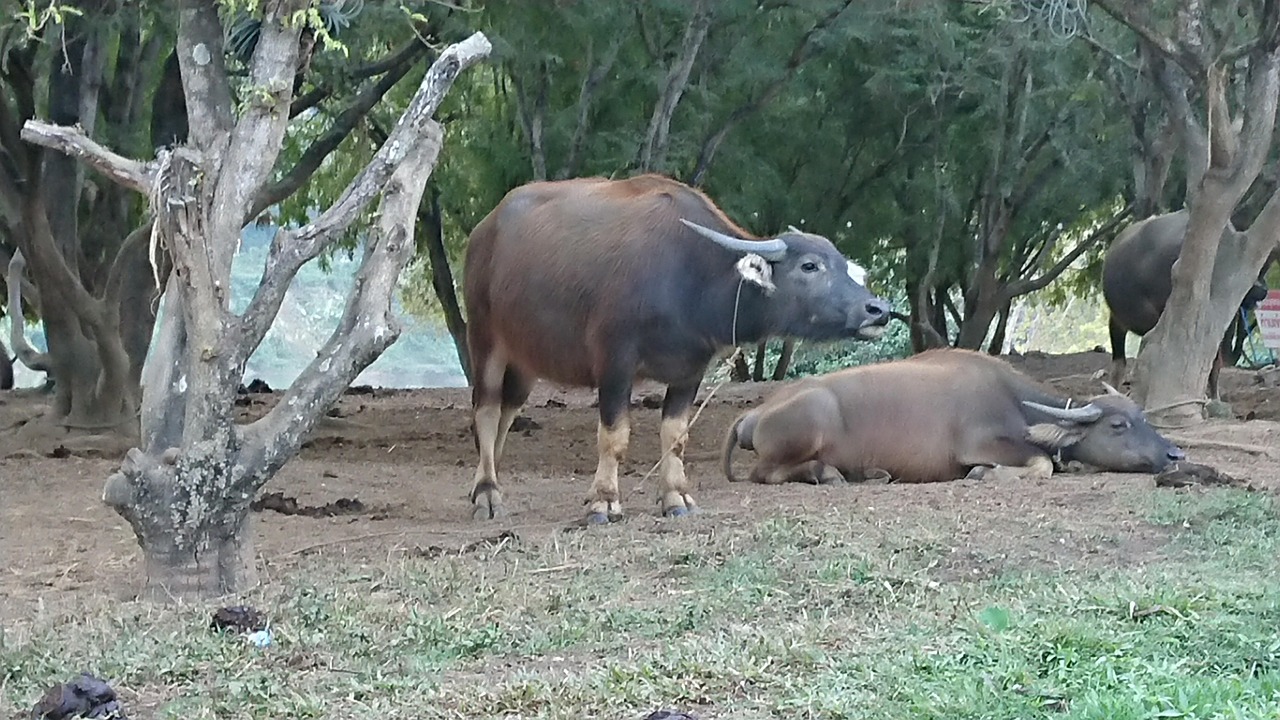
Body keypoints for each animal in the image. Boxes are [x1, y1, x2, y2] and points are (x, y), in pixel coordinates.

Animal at [463, 174, 892, 523]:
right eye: (810, 266)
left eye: (846, 266)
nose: (879, 310)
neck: (691, 275)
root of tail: (484, 231)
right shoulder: (615, 363)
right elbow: (613, 436)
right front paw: (603, 501)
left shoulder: (690, 371)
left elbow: (676, 435)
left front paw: (675, 498)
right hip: (485, 339)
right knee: (486, 409)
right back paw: (487, 493)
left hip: (525, 359)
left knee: (507, 411)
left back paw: (491, 479)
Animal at [722, 348, 1184, 486]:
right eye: (1118, 425)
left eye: (1144, 417)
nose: (1174, 454)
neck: (1014, 400)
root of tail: (757, 413)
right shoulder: (980, 444)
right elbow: (1041, 463)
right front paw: (985, 473)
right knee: (766, 473)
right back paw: (829, 473)